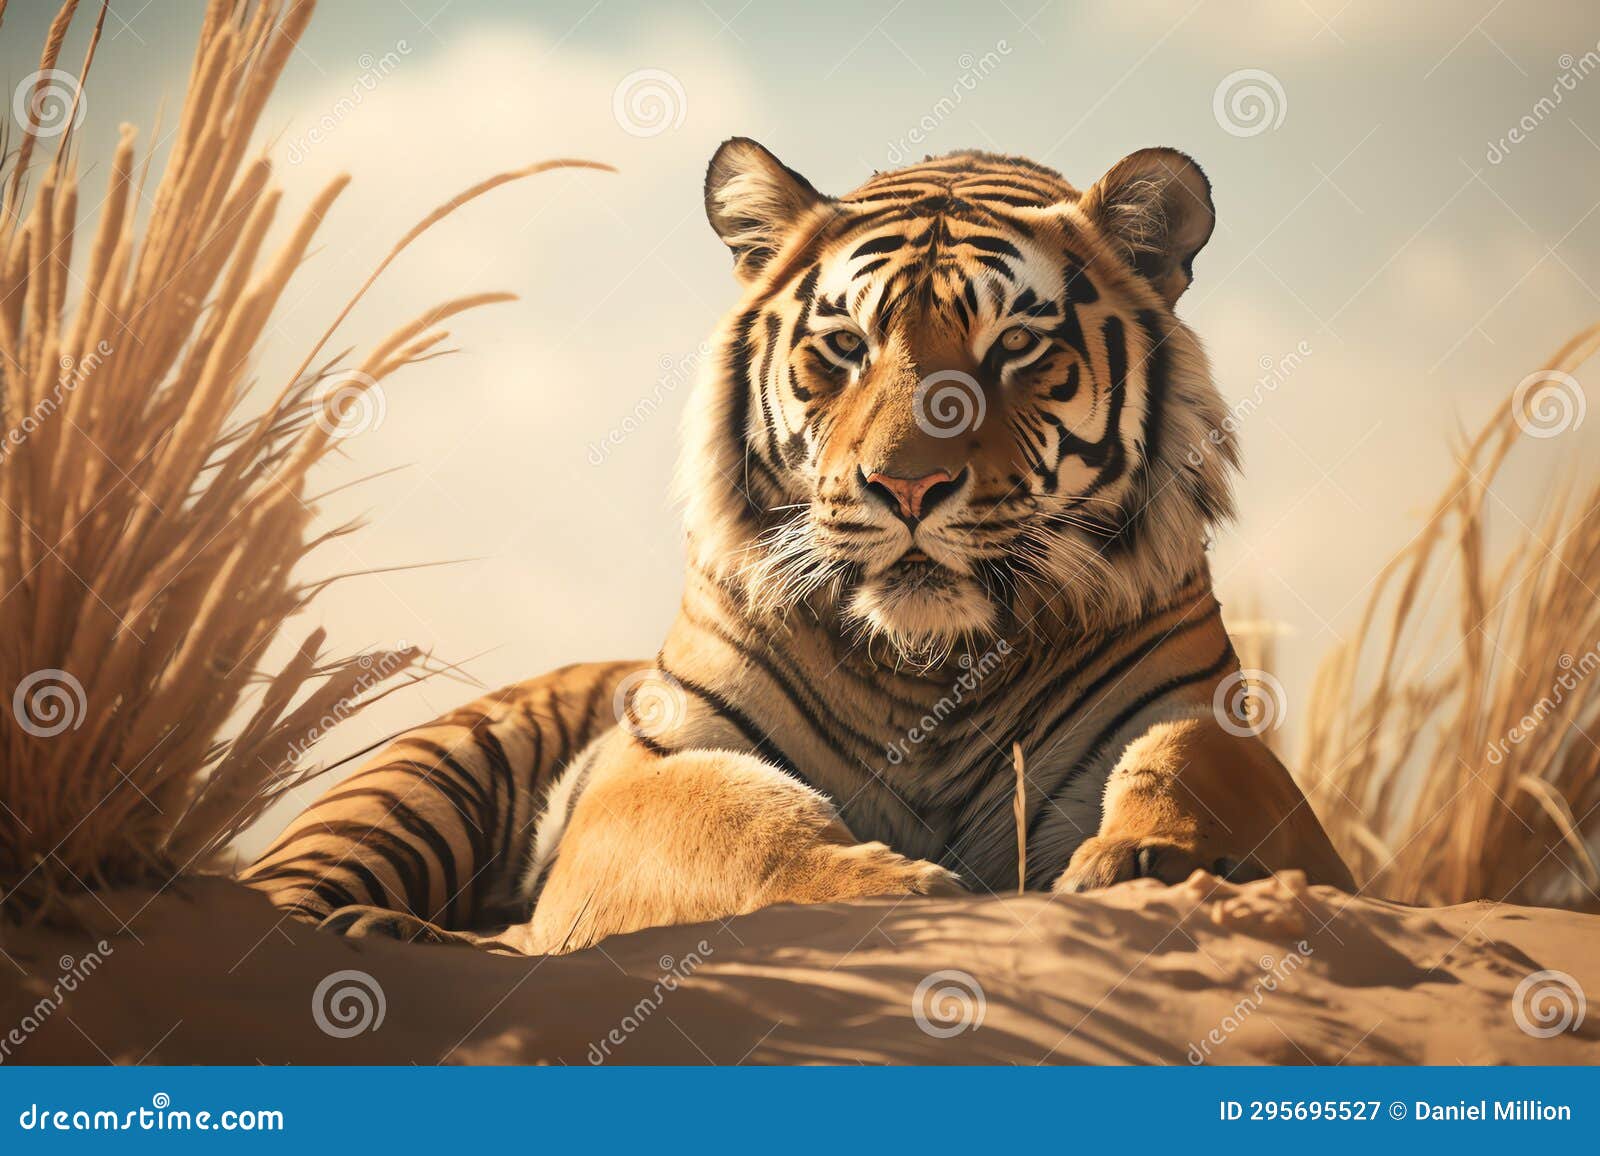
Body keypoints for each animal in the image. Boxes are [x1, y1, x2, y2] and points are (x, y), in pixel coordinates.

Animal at [243, 139, 1355, 953]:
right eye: (846, 347)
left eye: (1016, 347)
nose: (907, 485)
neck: (928, 662)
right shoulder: (653, 763)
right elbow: (735, 826)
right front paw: (897, 891)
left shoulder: (1205, 726)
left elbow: (1190, 764)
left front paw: (1139, 865)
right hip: (422, 773)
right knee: (268, 907)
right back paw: (373, 930)